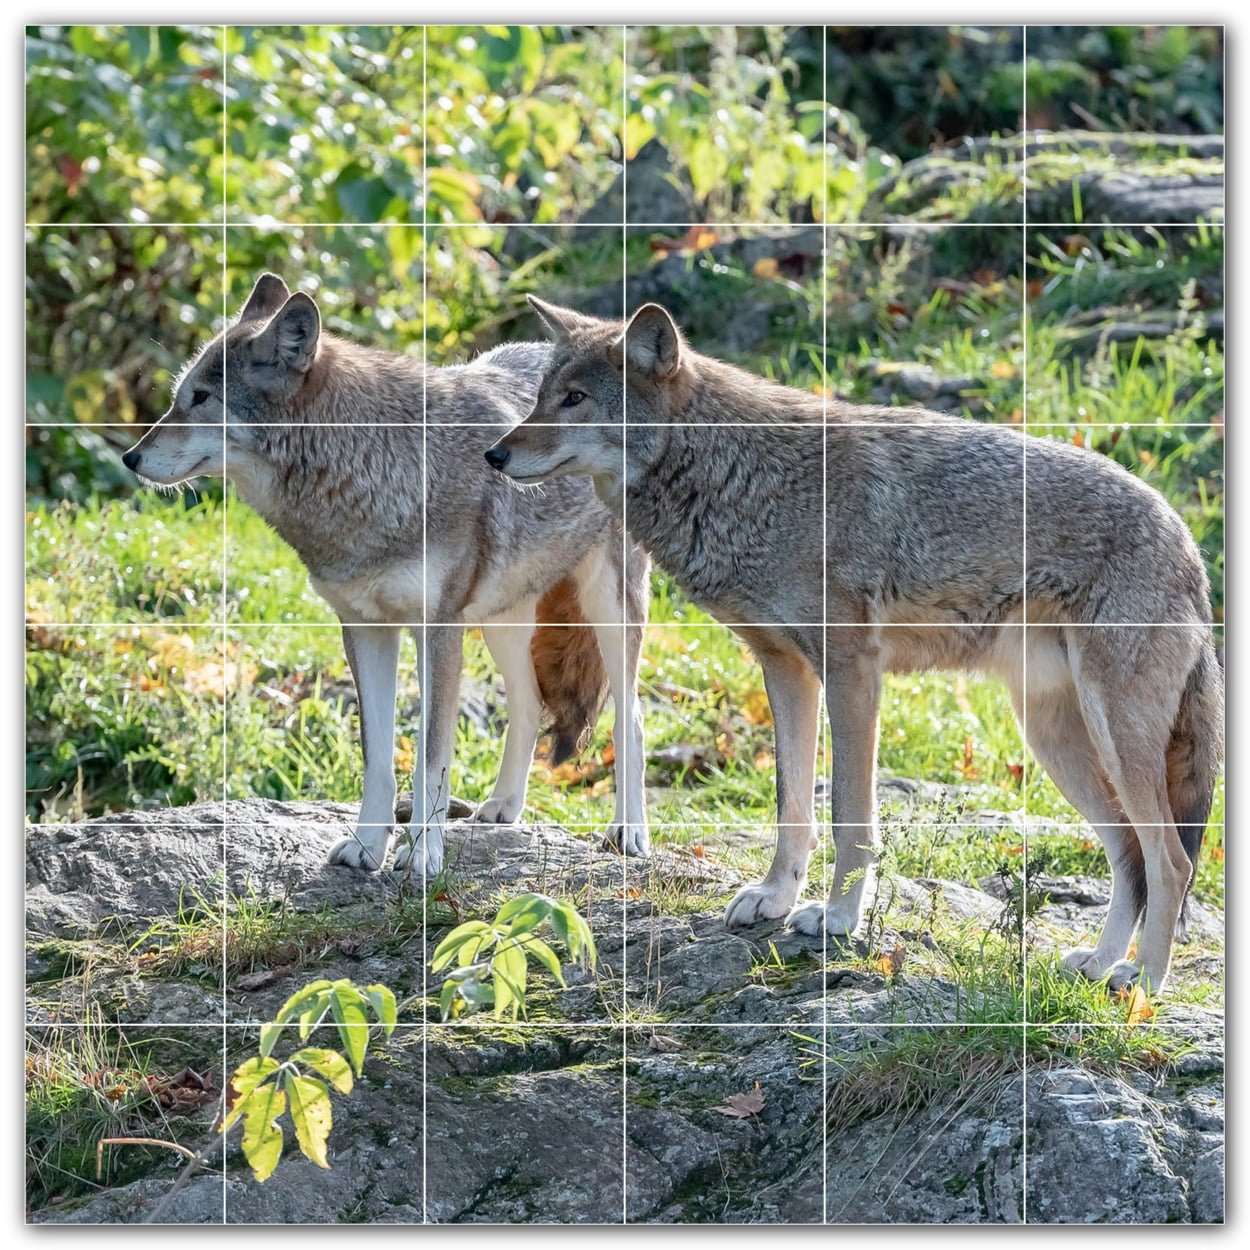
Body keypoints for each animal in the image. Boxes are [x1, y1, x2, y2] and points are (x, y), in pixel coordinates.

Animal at [123, 274, 650, 877]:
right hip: (502, 621)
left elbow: (431, 756)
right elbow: (376, 756)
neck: (368, 471)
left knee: (630, 717)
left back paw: (628, 832)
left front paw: (421, 855)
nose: (130, 458)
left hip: (608, 610)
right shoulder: (364, 627)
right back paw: (502, 808)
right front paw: (366, 847)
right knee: (530, 703)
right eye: (178, 397)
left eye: (201, 399)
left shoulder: (437, 630)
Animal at [485, 296, 1222, 994]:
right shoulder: (784, 670)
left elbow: (849, 816)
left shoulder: (851, 671)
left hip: (1109, 736)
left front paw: (838, 919)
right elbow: (792, 807)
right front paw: (776, 898)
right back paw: (1099, 964)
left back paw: (1143, 982)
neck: (743, 477)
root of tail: (1191, 546)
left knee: (1172, 860)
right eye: (541, 396)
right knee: (1130, 855)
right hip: (1055, 740)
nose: (495, 454)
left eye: (575, 399)